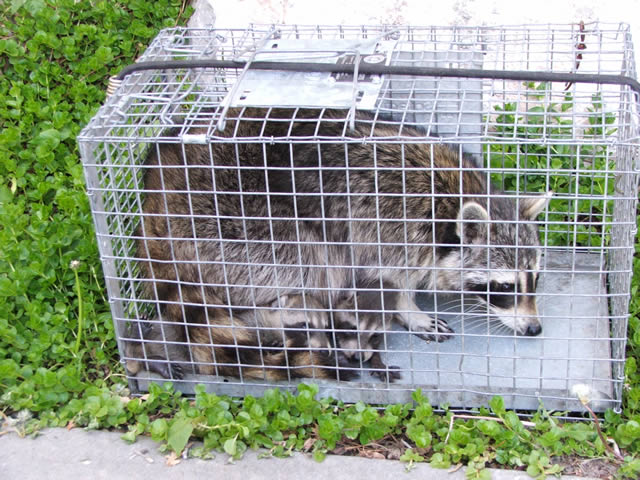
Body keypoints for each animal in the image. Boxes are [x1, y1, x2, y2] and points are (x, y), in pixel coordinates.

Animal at [137, 108, 550, 380]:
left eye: (535, 279)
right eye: (504, 288)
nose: (534, 329)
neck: (450, 201)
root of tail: (154, 202)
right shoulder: (383, 224)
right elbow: (388, 280)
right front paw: (409, 310)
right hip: (232, 216)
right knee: (309, 260)